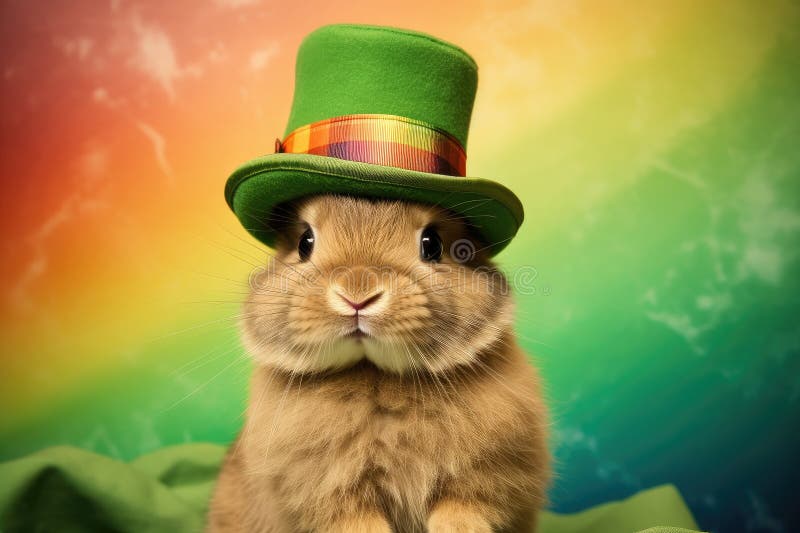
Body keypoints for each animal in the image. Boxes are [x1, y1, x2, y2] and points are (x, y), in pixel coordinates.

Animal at [207, 195, 550, 533]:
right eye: (305, 242)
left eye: (432, 244)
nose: (358, 294)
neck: (378, 377)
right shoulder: (335, 498)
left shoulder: (485, 482)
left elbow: (463, 512)